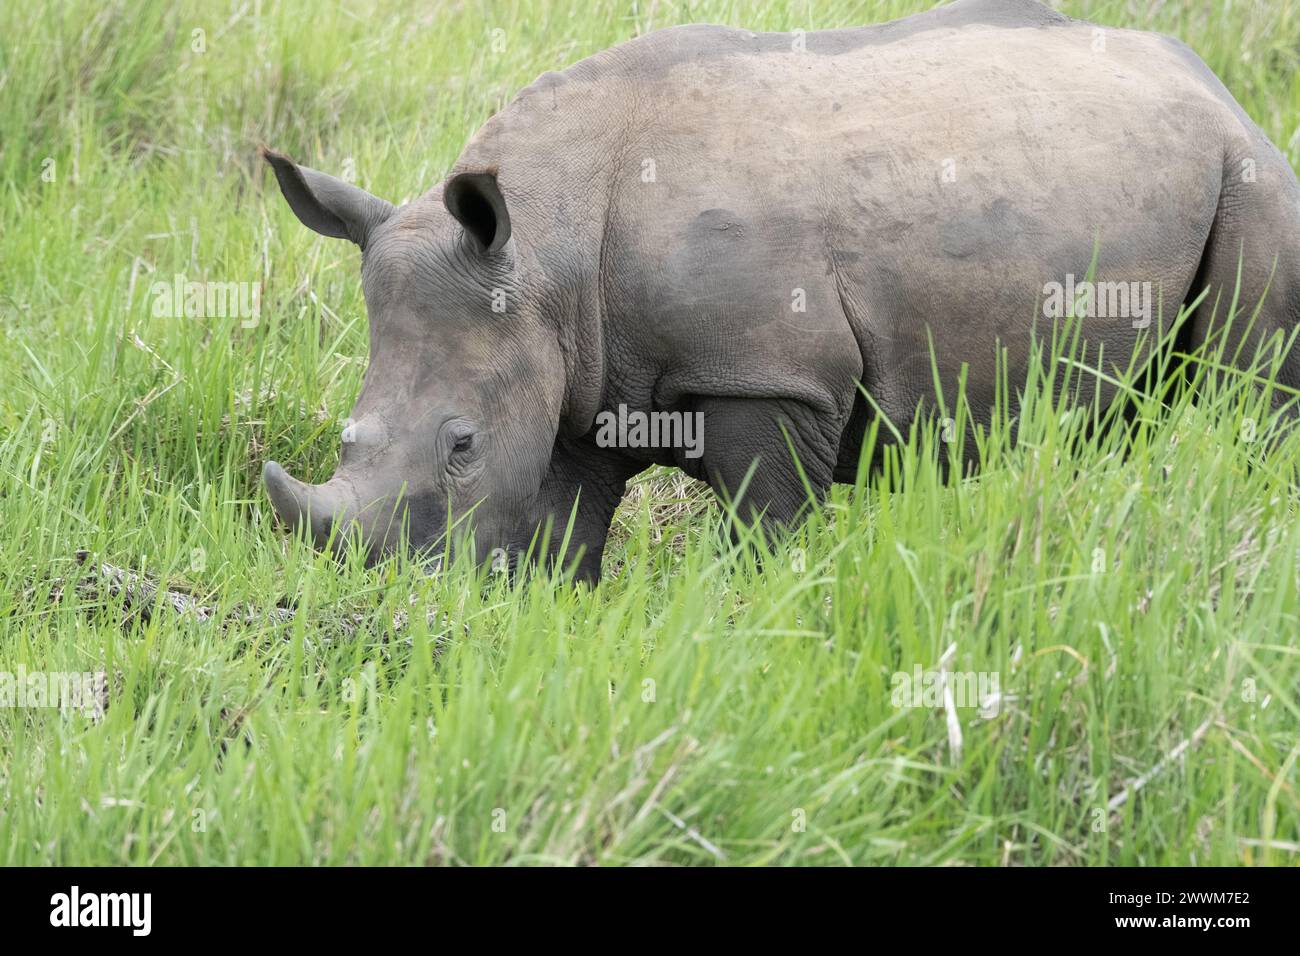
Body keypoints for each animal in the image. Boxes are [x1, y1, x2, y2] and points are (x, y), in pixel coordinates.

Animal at [261, 0, 1300, 582]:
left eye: (462, 446)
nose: (389, 593)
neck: (547, 243)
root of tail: (1211, 79)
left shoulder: (769, 373)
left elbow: (761, 530)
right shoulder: (579, 378)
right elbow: (561, 532)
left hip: (1250, 176)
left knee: (1245, 394)